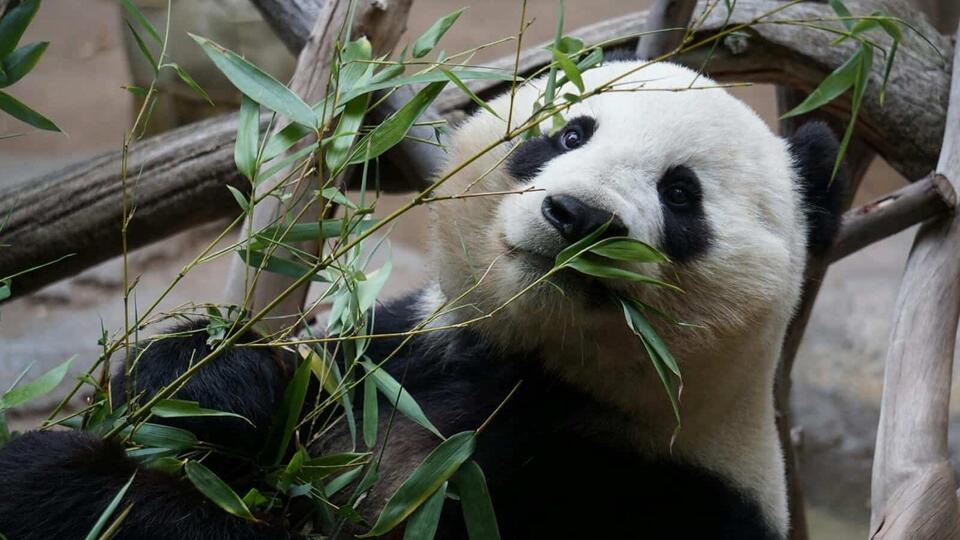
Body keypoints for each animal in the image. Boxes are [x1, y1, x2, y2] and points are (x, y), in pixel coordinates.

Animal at [0, 59, 844, 540]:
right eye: (570, 132)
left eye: (681, 193)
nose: (579, 217)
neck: (539, 372)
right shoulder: (398, 359)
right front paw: (213, 380)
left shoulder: (650, 490)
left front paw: (64, 483)